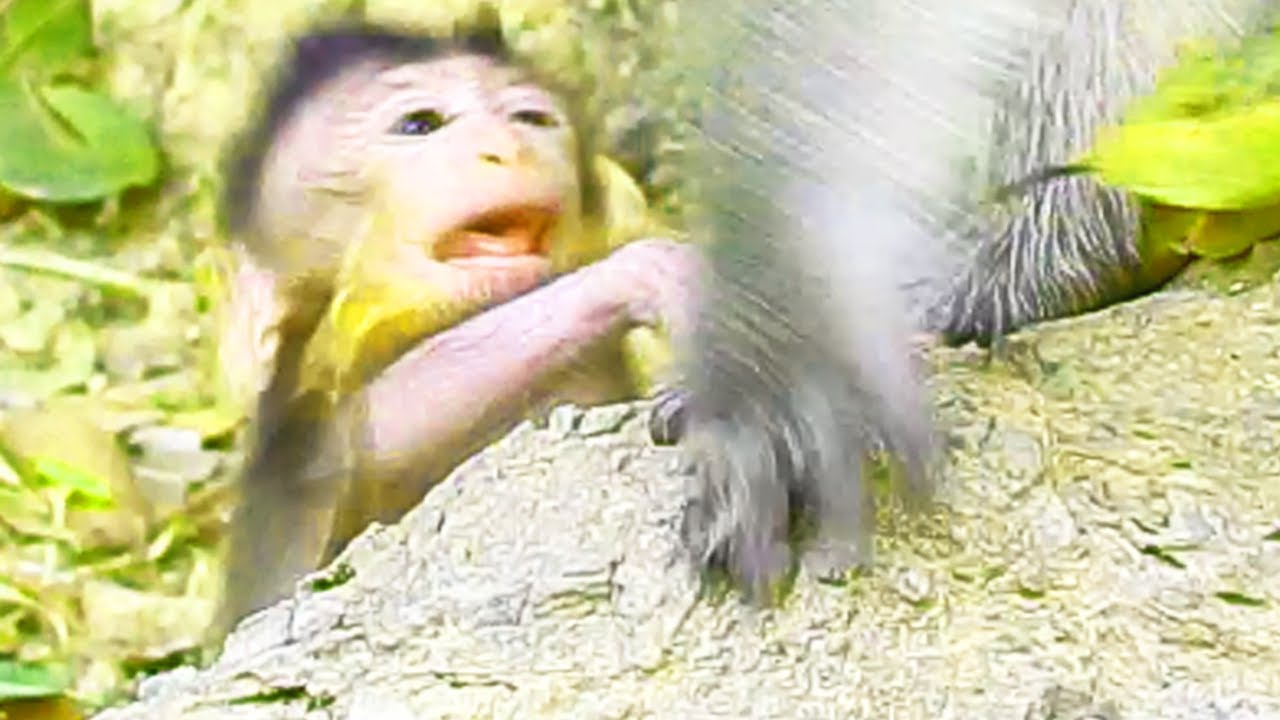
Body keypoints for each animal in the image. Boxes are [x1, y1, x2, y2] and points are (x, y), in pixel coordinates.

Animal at [213, 17, 699, 633]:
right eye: (420, 124)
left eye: (531, 118)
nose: (509, 148)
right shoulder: (309, 444)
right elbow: (383, 423)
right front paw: (654, 274)